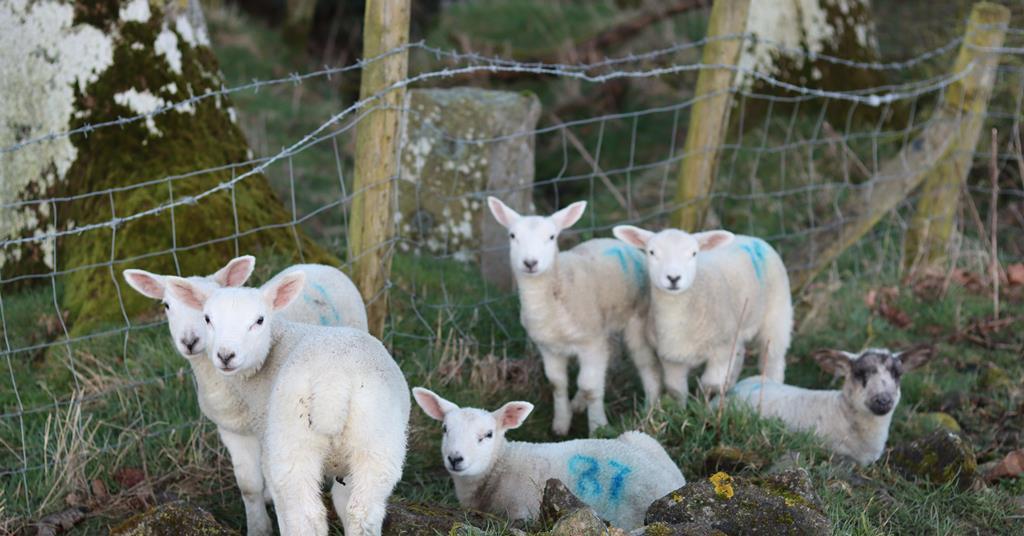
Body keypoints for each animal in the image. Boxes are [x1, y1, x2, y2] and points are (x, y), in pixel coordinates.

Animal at [122, 258, 367, 534]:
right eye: (167, 306)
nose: (189, 341)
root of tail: (316, 264)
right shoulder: (231, 430)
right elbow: (249, 486)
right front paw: (258, 527)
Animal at [165, 272, 409, 536]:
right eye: (207, 319)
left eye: (259, 320)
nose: (225, 355)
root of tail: (334, 381)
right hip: (376, 444)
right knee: (361, 513)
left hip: (293, 442)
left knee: (304, 515)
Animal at [412, 387, 685, 529]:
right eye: (445, 429)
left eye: (488, 435)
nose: (455, 458)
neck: (501, 464)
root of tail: (669, 485)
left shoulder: (522, 512)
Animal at [487, 197, 661, 436]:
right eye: (512, 236)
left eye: (551, 237)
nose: (530, 263)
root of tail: (618, 242)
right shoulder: (548, 347)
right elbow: (557, 384)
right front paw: (561, 423)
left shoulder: (590, 342)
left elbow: (590, 386)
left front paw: (597, 427)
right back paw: (578, 403)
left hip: (637, 317)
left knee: (643, 361)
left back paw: (651, 407)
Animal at [612, 225, 793, 403]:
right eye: (652, 252)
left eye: (693, 253)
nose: (673, 278)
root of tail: (749, 237)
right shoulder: (671, 358)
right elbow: (676, 390)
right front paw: (681, 410)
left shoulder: (721, 349)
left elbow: (710, 384)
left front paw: (706, 405)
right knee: (740, 355)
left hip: (777, 316)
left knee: (773, 358)